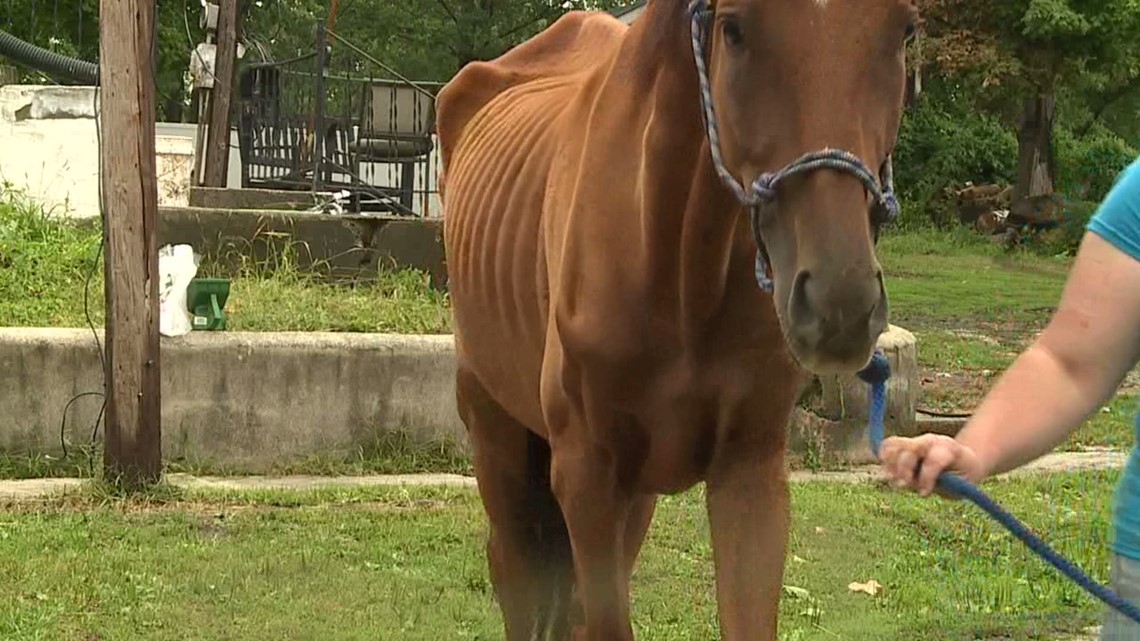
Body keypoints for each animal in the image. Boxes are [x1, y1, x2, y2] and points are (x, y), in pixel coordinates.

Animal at [436, 0, 917, 638]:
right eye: (733, 28)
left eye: (904, 30)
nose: (840, 306)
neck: (679, 279)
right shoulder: (586, 476)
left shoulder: (749, 470)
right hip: (496, 432)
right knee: (515, 575)